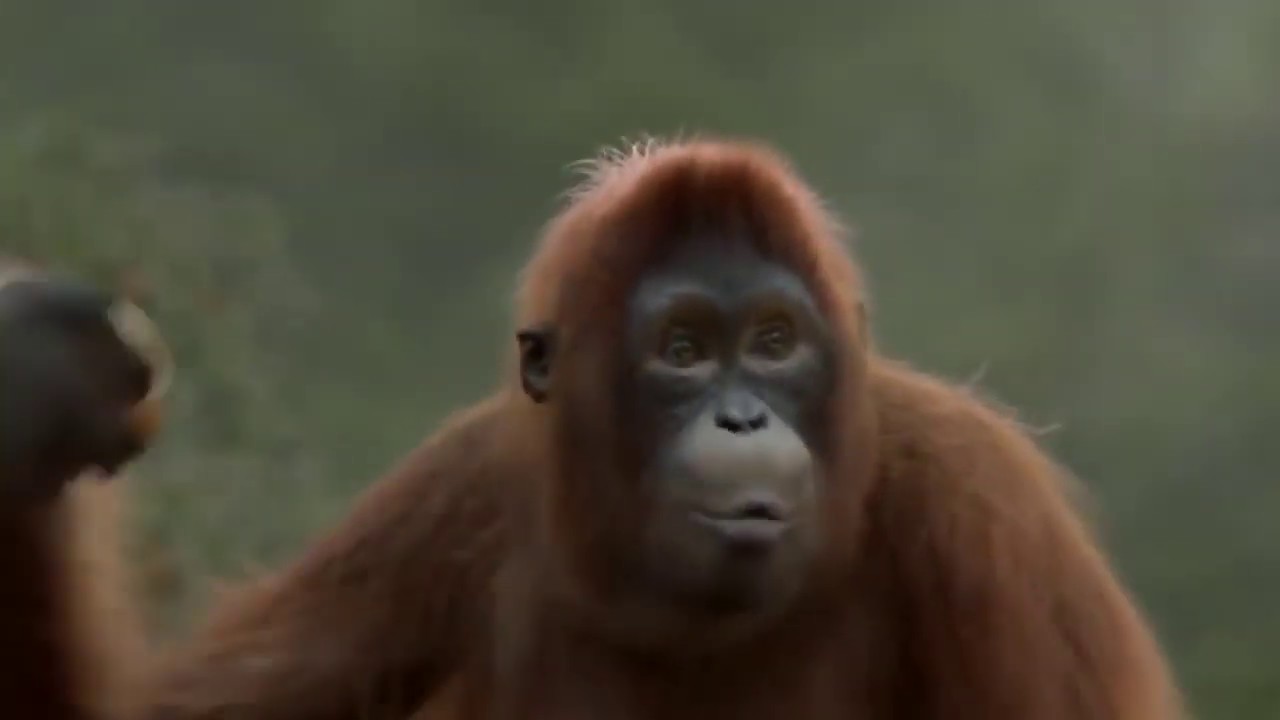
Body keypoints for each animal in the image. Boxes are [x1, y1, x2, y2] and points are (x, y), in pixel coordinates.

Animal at [0, 137, 1184, 719]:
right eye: (682, 352)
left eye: (772, 342)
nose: (742, 412)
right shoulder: (452, 502)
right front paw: (37, 379)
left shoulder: (983, 517)